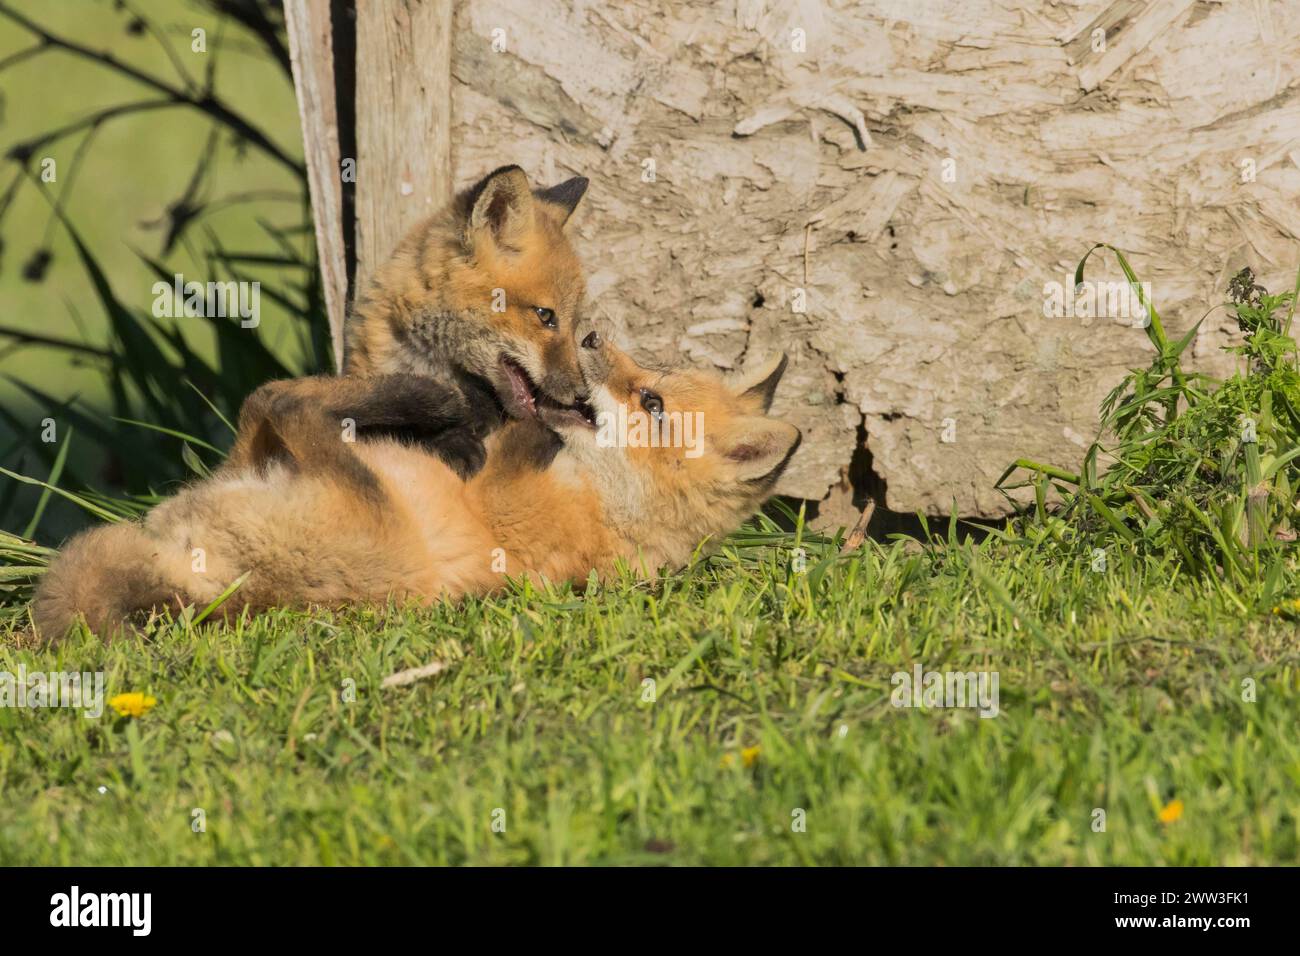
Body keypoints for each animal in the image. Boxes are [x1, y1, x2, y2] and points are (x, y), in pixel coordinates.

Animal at [29, 337, 800, 641]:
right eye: (651, 379)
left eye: (651, 401)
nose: (589, 337)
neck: (601, 503)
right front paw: (469, 420)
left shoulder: (512, 514)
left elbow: (515, 444)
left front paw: (494, 422)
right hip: (260, 462)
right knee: (269, 402)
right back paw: (424, 403)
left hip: (370, 514)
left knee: (283, 402)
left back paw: (417, 400)